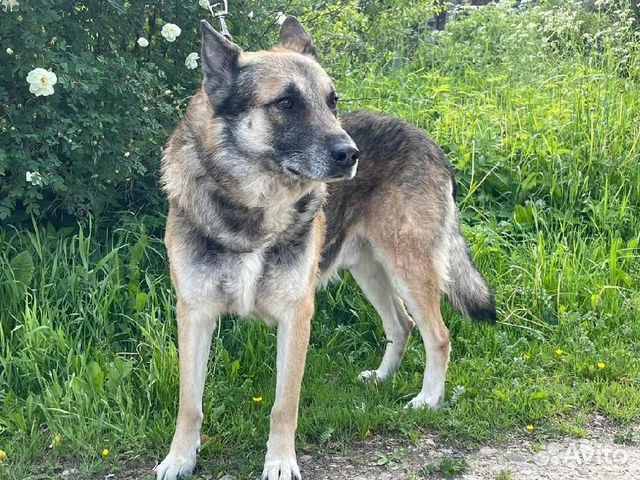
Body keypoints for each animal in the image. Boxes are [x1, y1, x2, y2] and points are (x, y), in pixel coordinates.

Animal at [156, 16, 496, 480]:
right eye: (285, 103)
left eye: (332, 102)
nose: (351, 154)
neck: (255, 207)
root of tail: (427, 140)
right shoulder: (195, 314)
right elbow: (189, 403)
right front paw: (179, 458)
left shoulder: (295, 315)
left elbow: (284, 405)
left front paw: (280, 462)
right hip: (369, 271)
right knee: (402, 325)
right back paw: (383, 378)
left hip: (408, 266)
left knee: (438, 335)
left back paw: (428, 399)